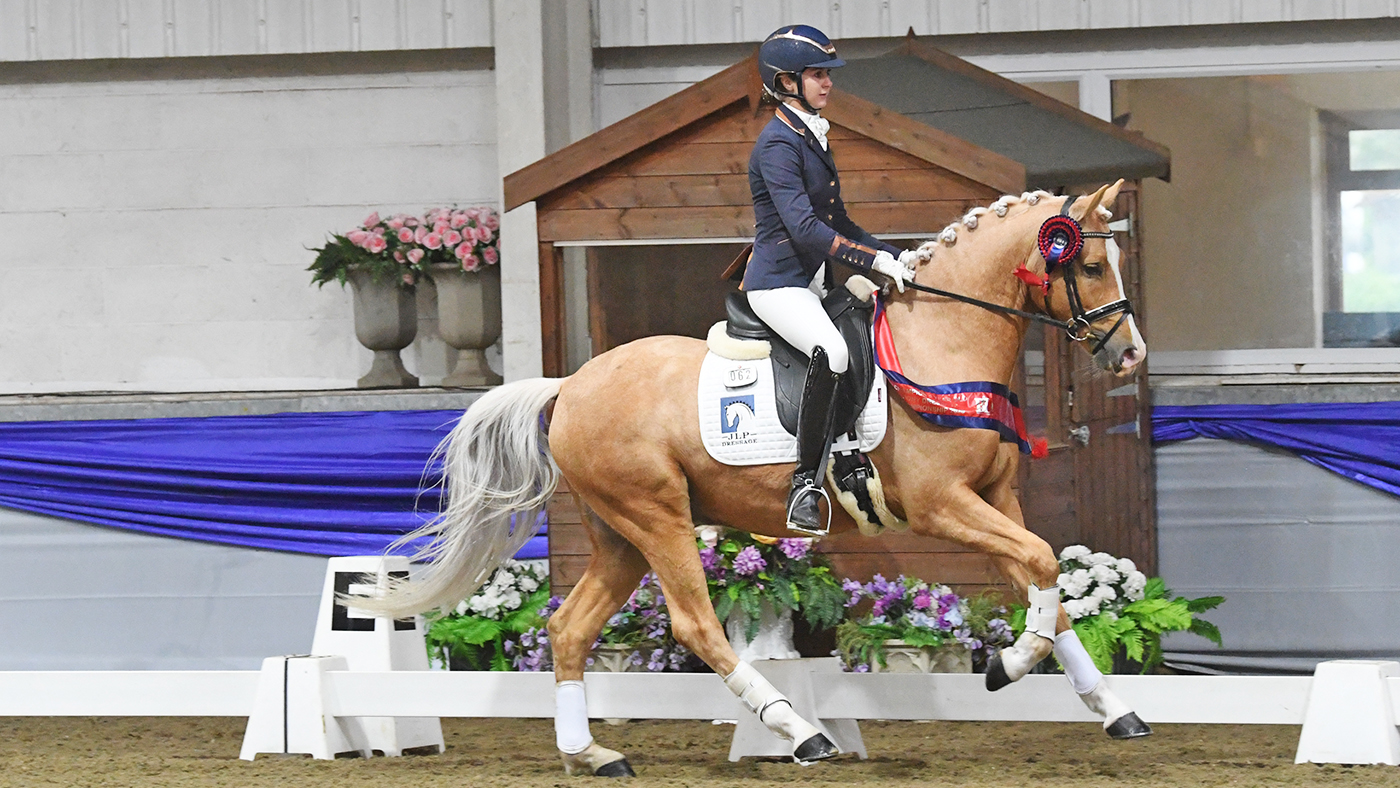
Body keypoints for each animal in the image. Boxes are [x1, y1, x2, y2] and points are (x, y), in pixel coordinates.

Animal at [364, 180, 1148, 776]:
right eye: (1088, 266)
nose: (1131, 354)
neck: (941, 342)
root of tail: (570, 385)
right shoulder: (942, 506)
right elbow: (1043, 565)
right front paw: (1006, 668)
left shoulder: (995, 499)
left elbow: (1048, 586)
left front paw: (1113, 710)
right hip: (657, 516)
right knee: (695, 623)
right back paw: (801, 733)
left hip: (617, 534)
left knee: (568, 628)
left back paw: (591, 754)